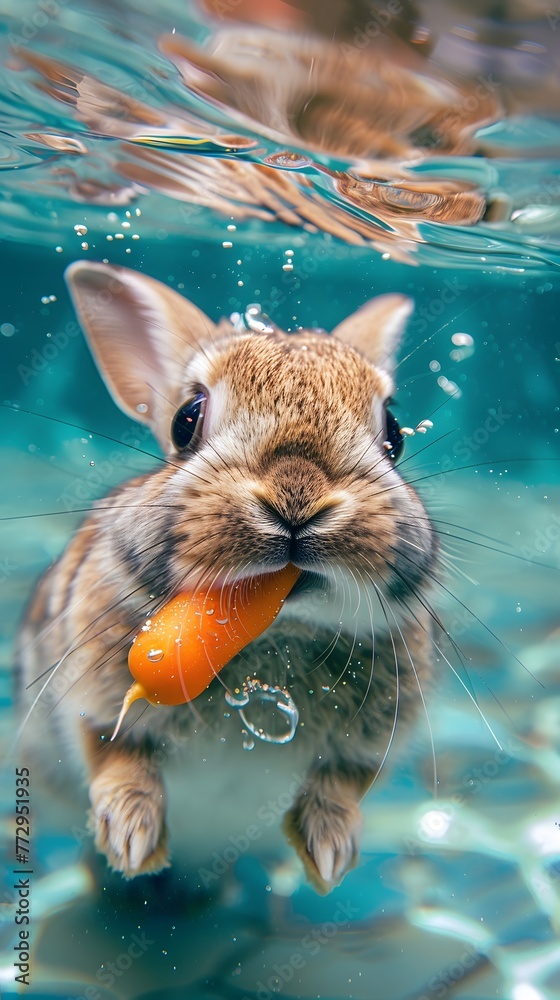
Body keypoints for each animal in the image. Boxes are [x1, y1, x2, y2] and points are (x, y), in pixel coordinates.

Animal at [16, 261, 438, 893]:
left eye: (395, 433)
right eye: (185, 420)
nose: (296, 498)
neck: (272, 631)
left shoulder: (369, 747)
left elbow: (344, 783)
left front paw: (331, 852)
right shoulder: (88, 696)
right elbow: (114, 755)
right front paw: (131, 839)